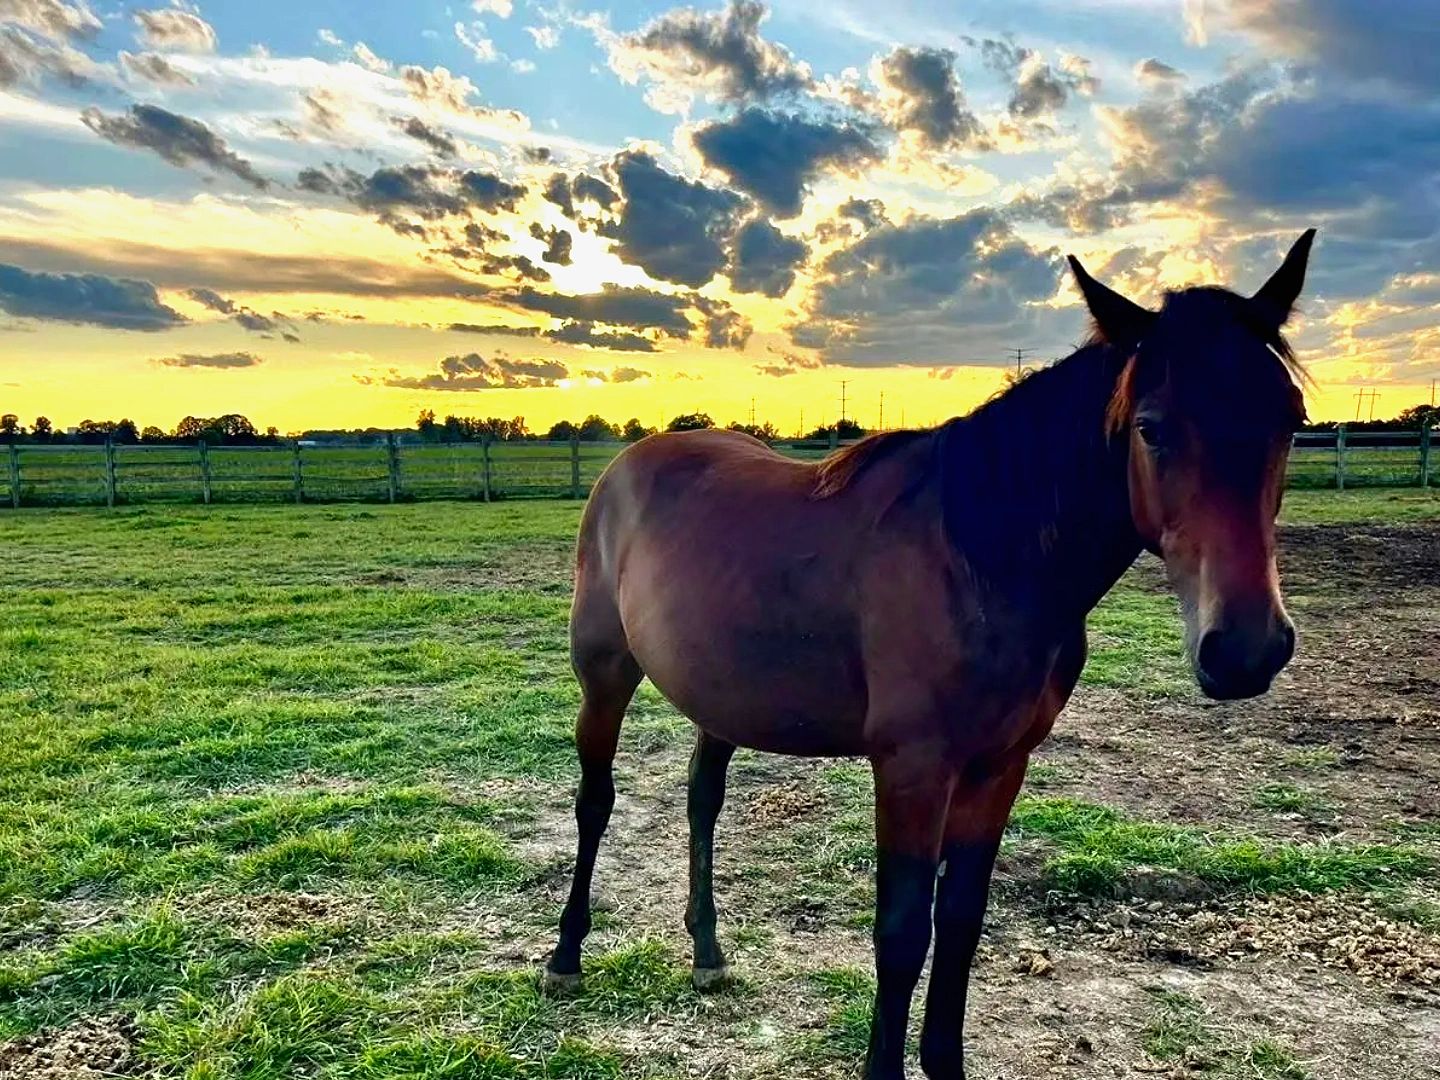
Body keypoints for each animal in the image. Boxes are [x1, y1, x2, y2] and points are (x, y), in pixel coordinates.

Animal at [544, 230, 1315, 1078]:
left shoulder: (999, 767)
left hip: (720, 696)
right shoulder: (913, 768)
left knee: (701, 798)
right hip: (604, 677)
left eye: (1292, 419)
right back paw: (565, 956)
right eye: (1150, 426)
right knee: (595, 802)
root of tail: (629, 464)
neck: (982, 558)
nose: (1244, 650)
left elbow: (962, 924)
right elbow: (903, 934)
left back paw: (708, 952)